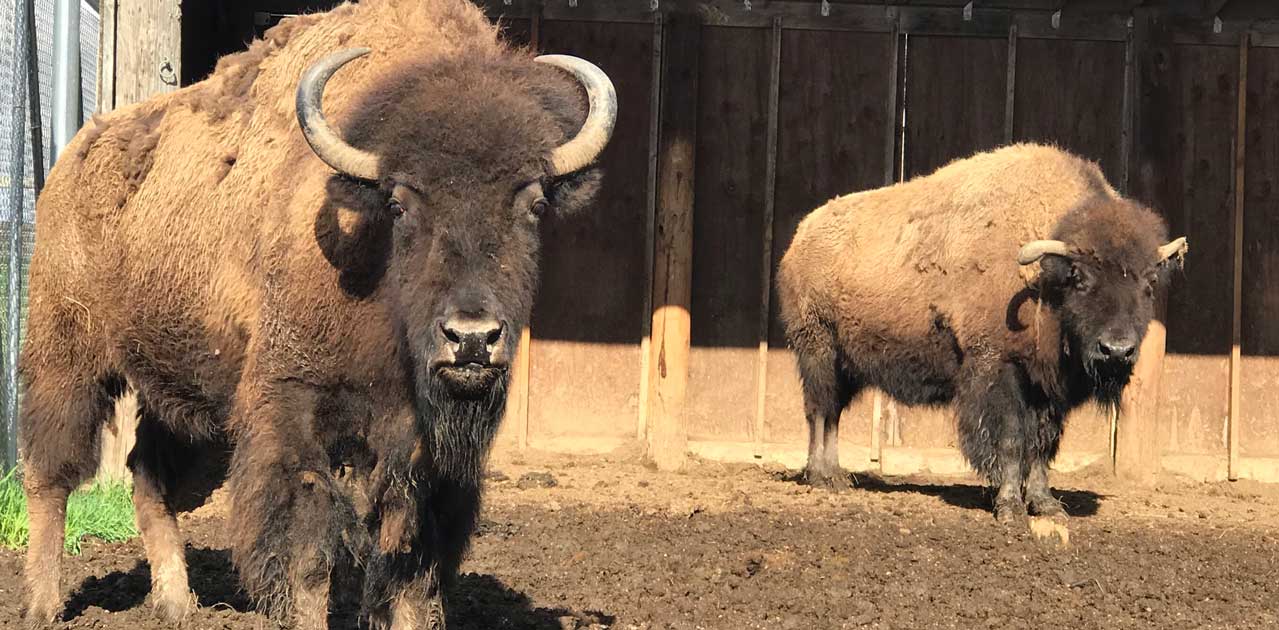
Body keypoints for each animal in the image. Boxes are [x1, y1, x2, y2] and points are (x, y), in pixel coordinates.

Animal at [19, 0, 616, 627]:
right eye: (400, 202)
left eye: (534, 203)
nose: (472, 339)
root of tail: (69, 164)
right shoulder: (293, 411)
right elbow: (308, 552)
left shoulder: (426, 456)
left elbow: (414, 568)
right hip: (66, 358)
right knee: (50, 474)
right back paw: (42, 604)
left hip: (187, 389)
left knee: (148, 477)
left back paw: (178, 605)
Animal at [777, 143, 1186, 522]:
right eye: (1080, 278)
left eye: (1149, 284)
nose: (1116, 350)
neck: (1044, 282)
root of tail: (799, 240)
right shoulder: (999, 371)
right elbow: (1011, 440)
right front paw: (1009, 507)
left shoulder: (1047, 391)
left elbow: (1042, 445)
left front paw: (1047, 505)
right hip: (818, 350)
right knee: (820, 411)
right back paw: (824, 478)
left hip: (848, 366)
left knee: (832, 413)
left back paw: (838, 476)